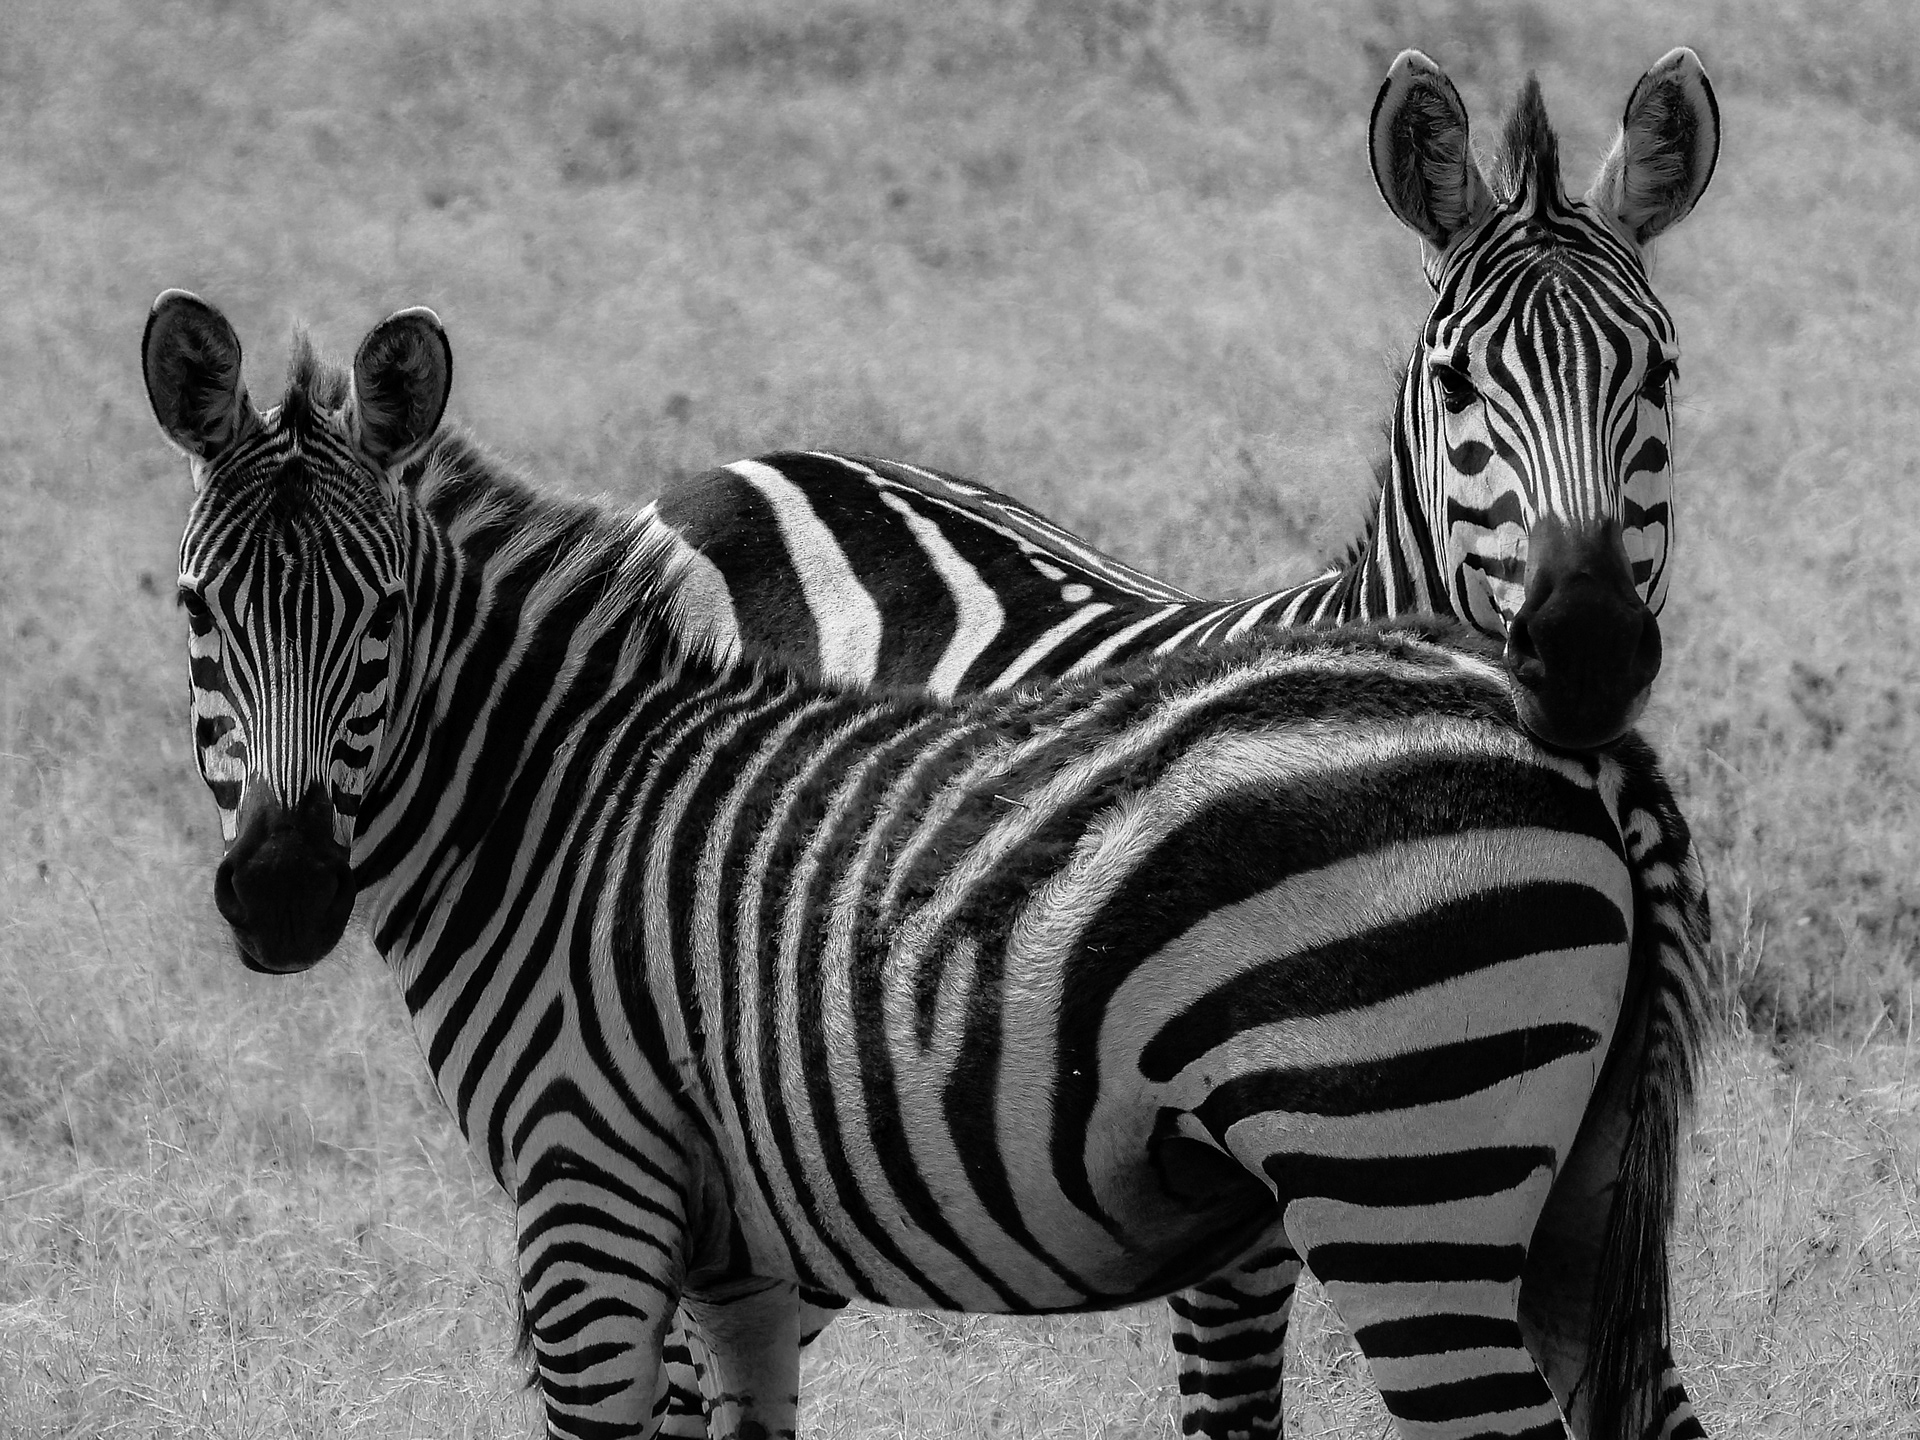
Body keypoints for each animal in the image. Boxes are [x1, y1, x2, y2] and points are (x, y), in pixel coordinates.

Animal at [145, 292, 1713, 1440]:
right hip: (1578, 1194)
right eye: (196, 609)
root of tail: (1567, 732)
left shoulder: (588, 1187)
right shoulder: (740, 1263)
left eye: (384, 617)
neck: (555, 798)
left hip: (1397, 1170)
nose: (280, 897)